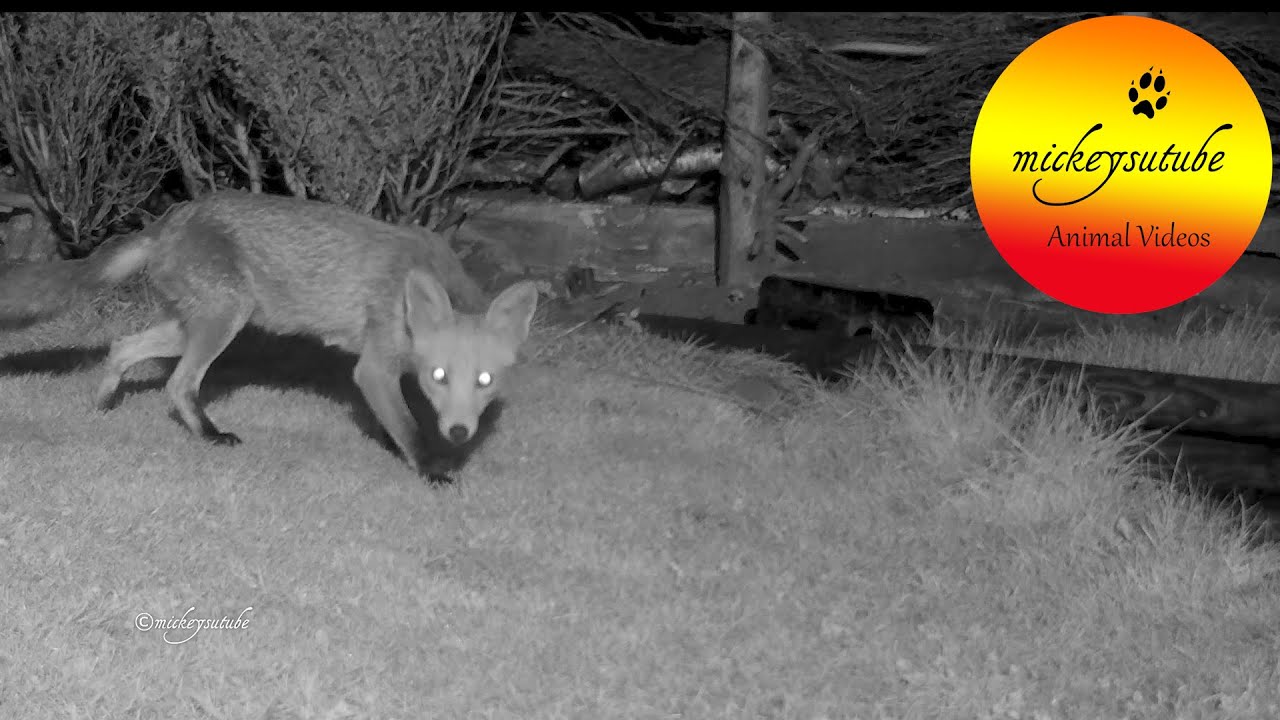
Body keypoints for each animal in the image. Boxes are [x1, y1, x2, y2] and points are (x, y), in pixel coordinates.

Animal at [0, 190, 539, 480]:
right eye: (439, 376)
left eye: (486, 381)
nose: (460, 432)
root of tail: (172, 216)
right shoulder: (374, 367)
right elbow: (408, 426)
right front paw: (431, 471)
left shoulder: (384, 374)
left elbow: (392, 422)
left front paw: (404, 452)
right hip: (225, 318)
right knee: (177, 385)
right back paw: (210, 435)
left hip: (193, 325)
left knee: (122, 347)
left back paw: (102, 403)